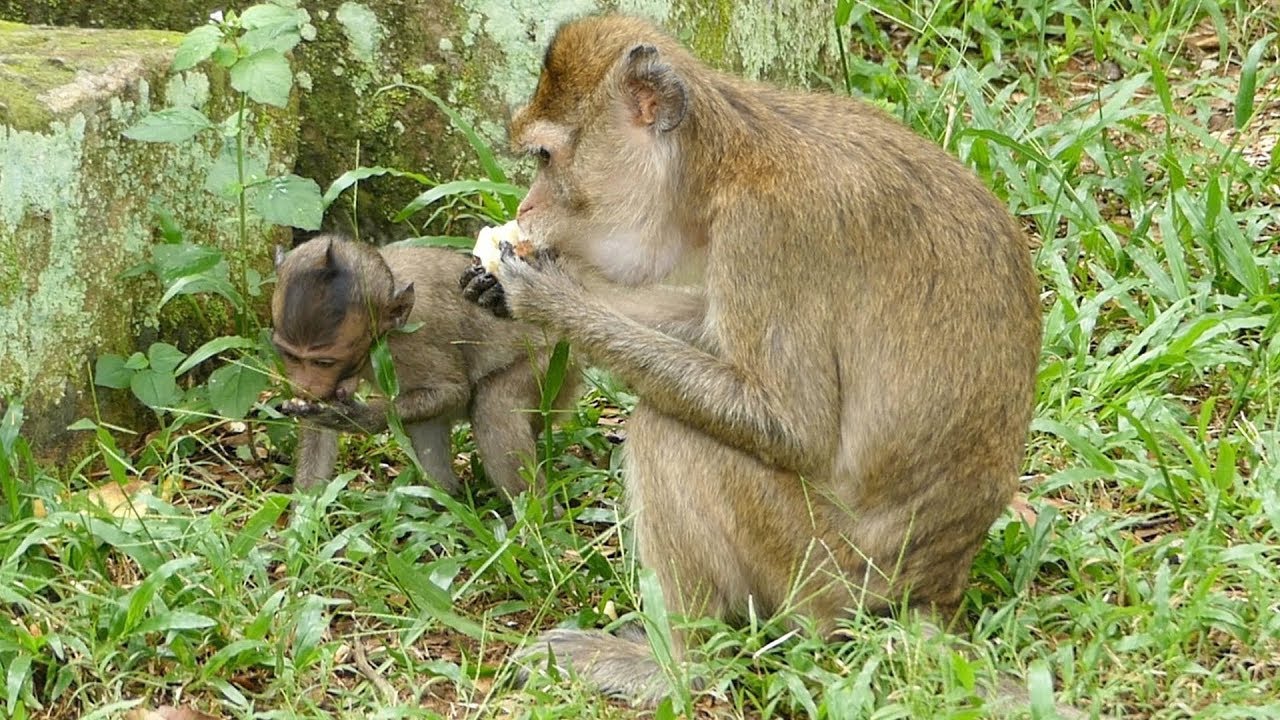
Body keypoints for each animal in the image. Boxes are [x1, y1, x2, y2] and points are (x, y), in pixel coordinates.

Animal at [272, 234, 578, 503]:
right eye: (291, 356)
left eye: (324, 362)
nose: (304, 385)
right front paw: (302, 523)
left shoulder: (412, 343)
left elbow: (453, 391)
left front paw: (356, 418)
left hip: (555, 364)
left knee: (492, 406)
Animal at [460, 13, 1043, 707]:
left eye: (547, 158)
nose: (525, 209)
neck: (724, 163)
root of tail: (931, 589)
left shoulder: (767, 234)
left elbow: (793, 427)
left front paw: (547, 296)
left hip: (817, 573)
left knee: (669, 434)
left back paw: (675, 666)